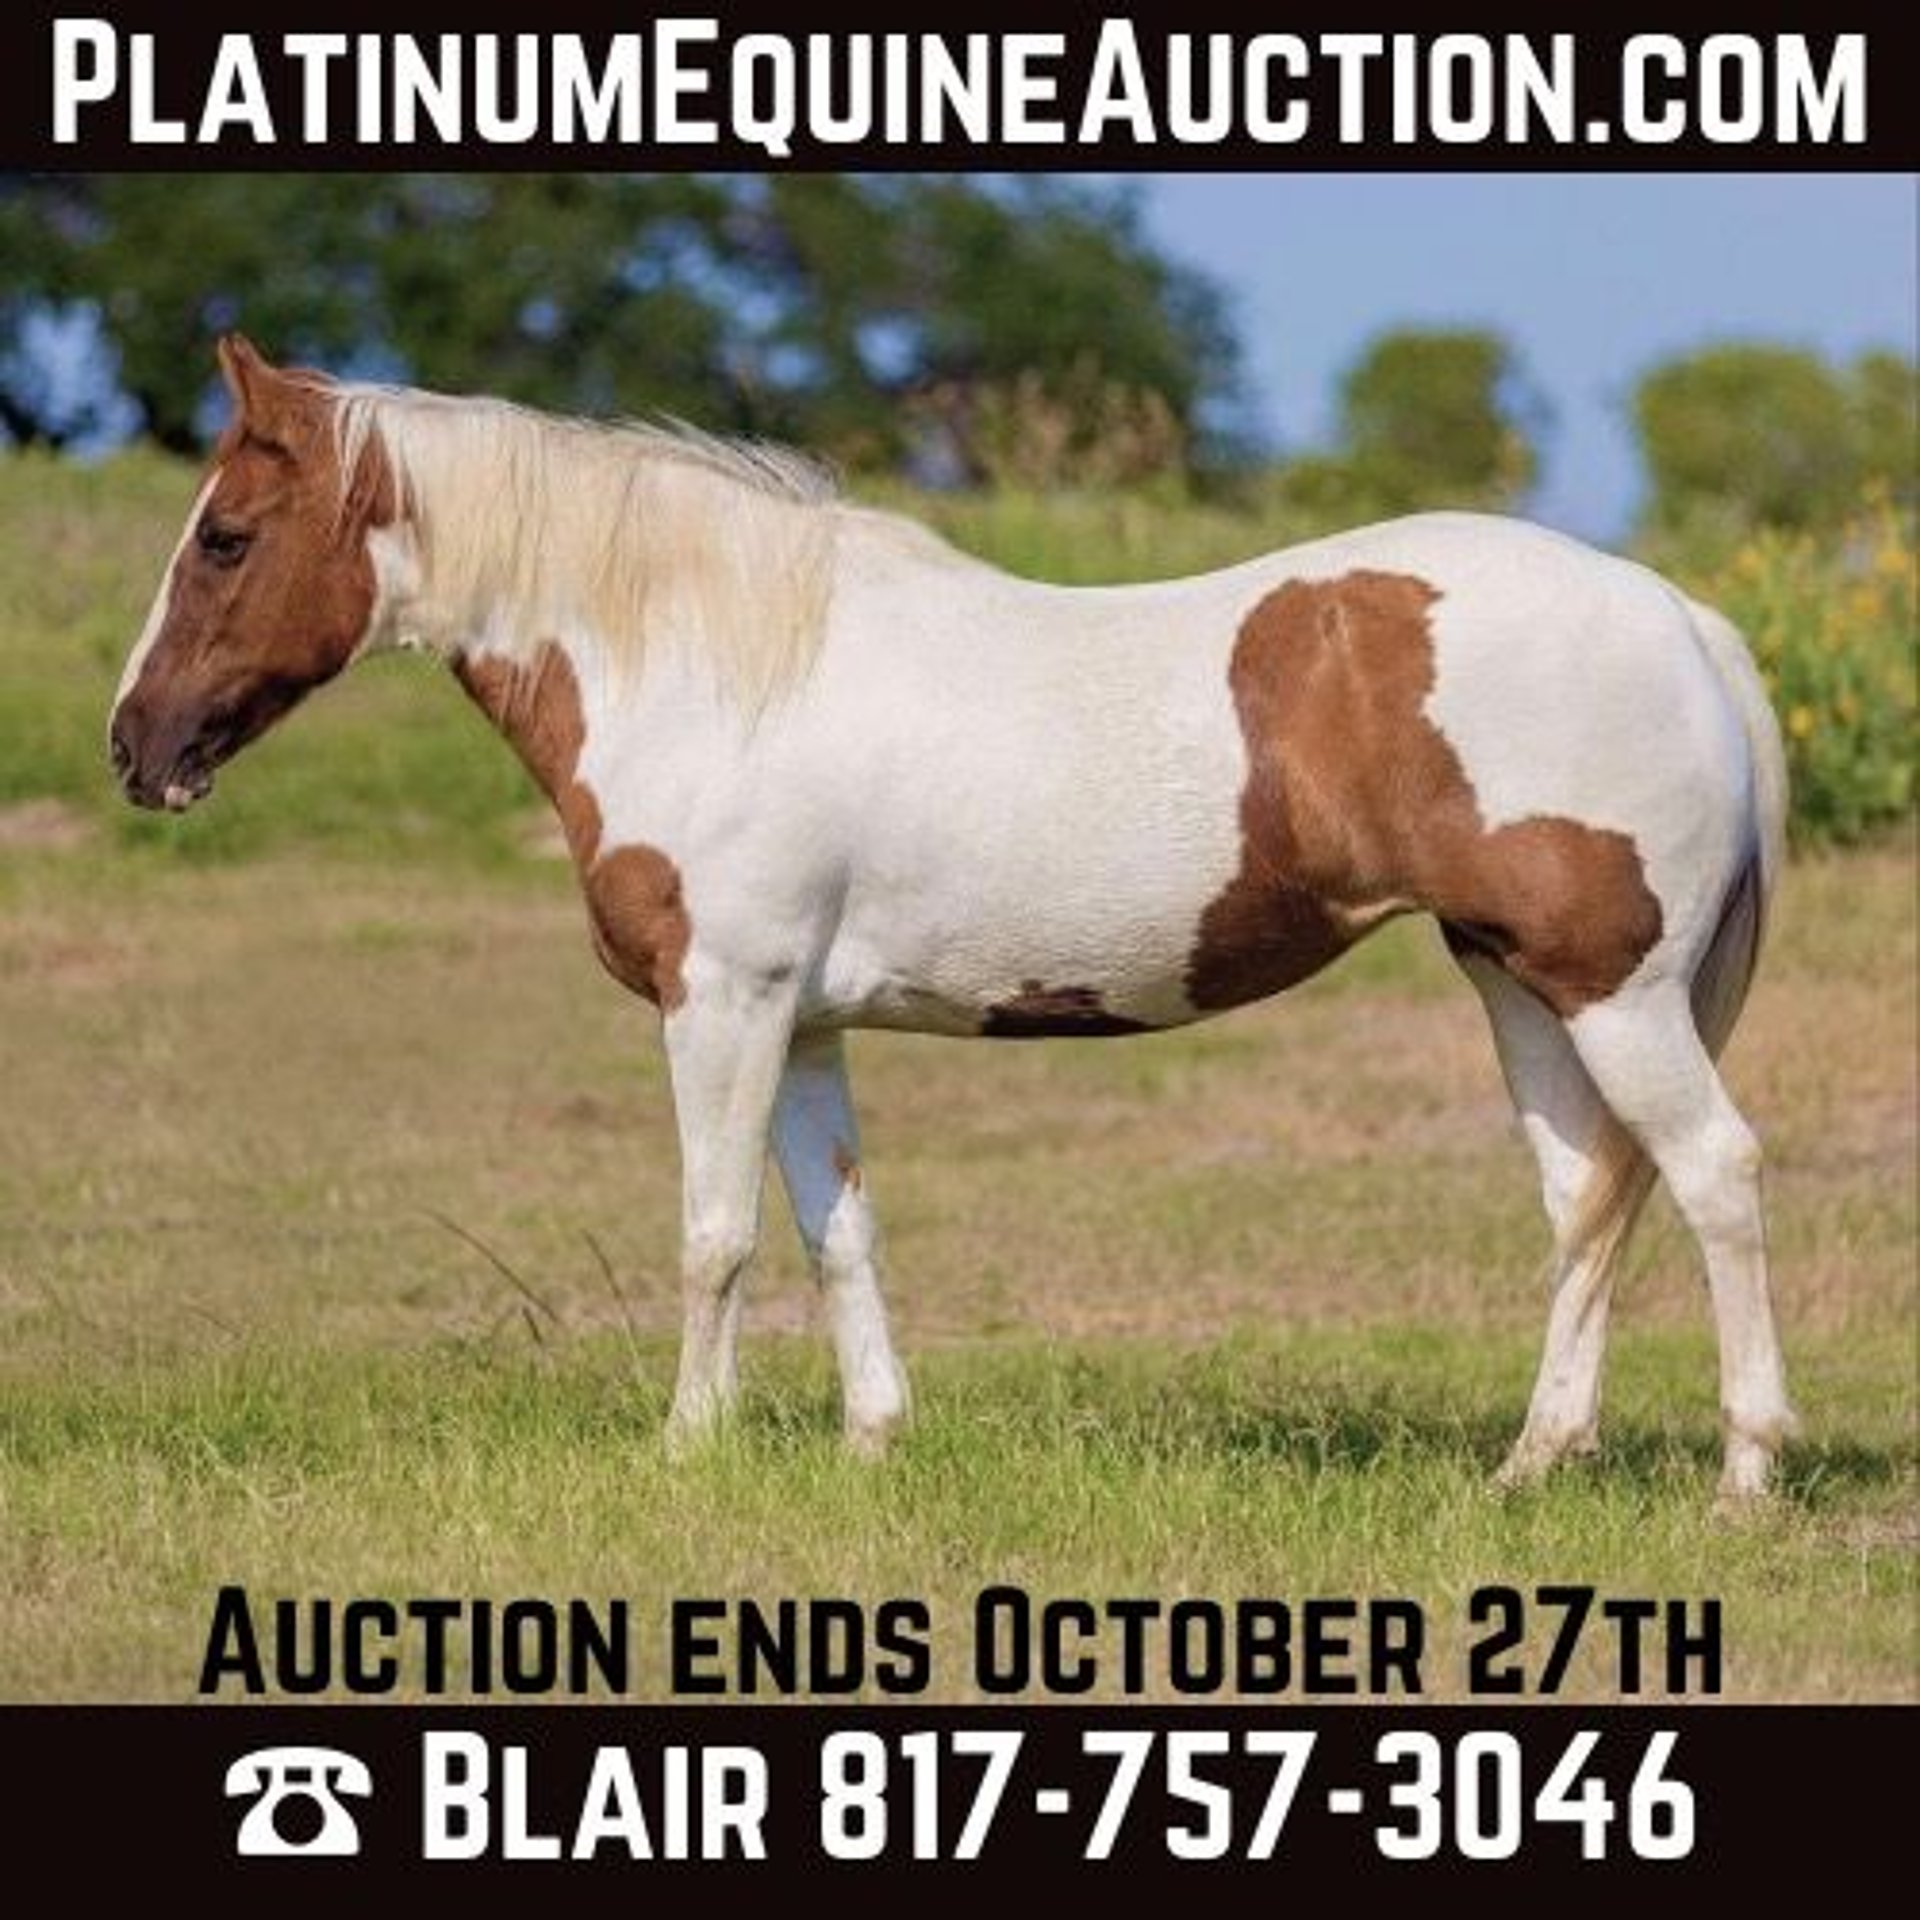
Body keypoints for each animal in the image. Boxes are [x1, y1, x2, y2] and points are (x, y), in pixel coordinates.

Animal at [108, 336, 1796, 1500]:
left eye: (226, 538)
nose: (136, 747)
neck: (719, 666)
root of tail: (1678, 615)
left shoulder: (721, 1001)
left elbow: (715, 1235)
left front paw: (688, 1450)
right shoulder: (799, 1024)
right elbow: (834, 1225)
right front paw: (872, 1442)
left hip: (1615, 993)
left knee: (1711, 1176)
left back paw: (1747, 1469)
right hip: (1522, 986)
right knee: (1588, 1198)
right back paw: (1533, 1464)